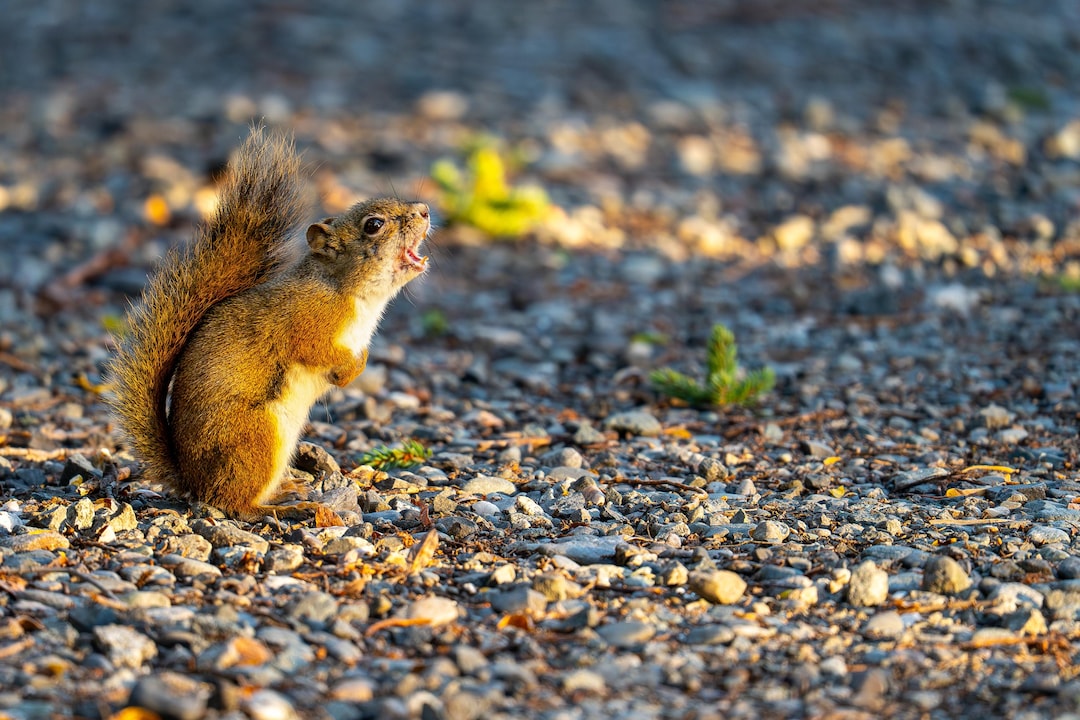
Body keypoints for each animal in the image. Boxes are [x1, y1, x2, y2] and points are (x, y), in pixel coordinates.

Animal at [107, 128, 430, 520]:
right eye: (374, 225)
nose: (426, 210)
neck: (353, 295)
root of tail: (191, 479)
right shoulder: (303, 322)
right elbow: (316, 351)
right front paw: (349, 368)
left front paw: (356, 365)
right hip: (258, 438)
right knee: (232, 502)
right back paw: (286, 507)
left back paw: (289, 489)